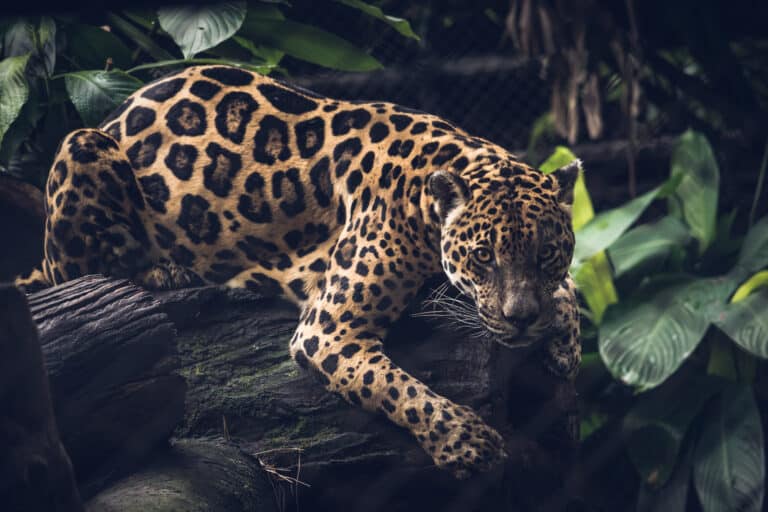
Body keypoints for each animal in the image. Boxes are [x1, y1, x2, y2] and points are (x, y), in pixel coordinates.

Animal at [16, 65, 581, 479]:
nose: (521, 320)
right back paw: (167, 271)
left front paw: (565, 342)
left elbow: (569, 289)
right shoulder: (328, 330)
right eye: (483, 256)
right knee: (79, 270)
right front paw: (466, 441)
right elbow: (396, 388)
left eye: (548, 252)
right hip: (81, 143)